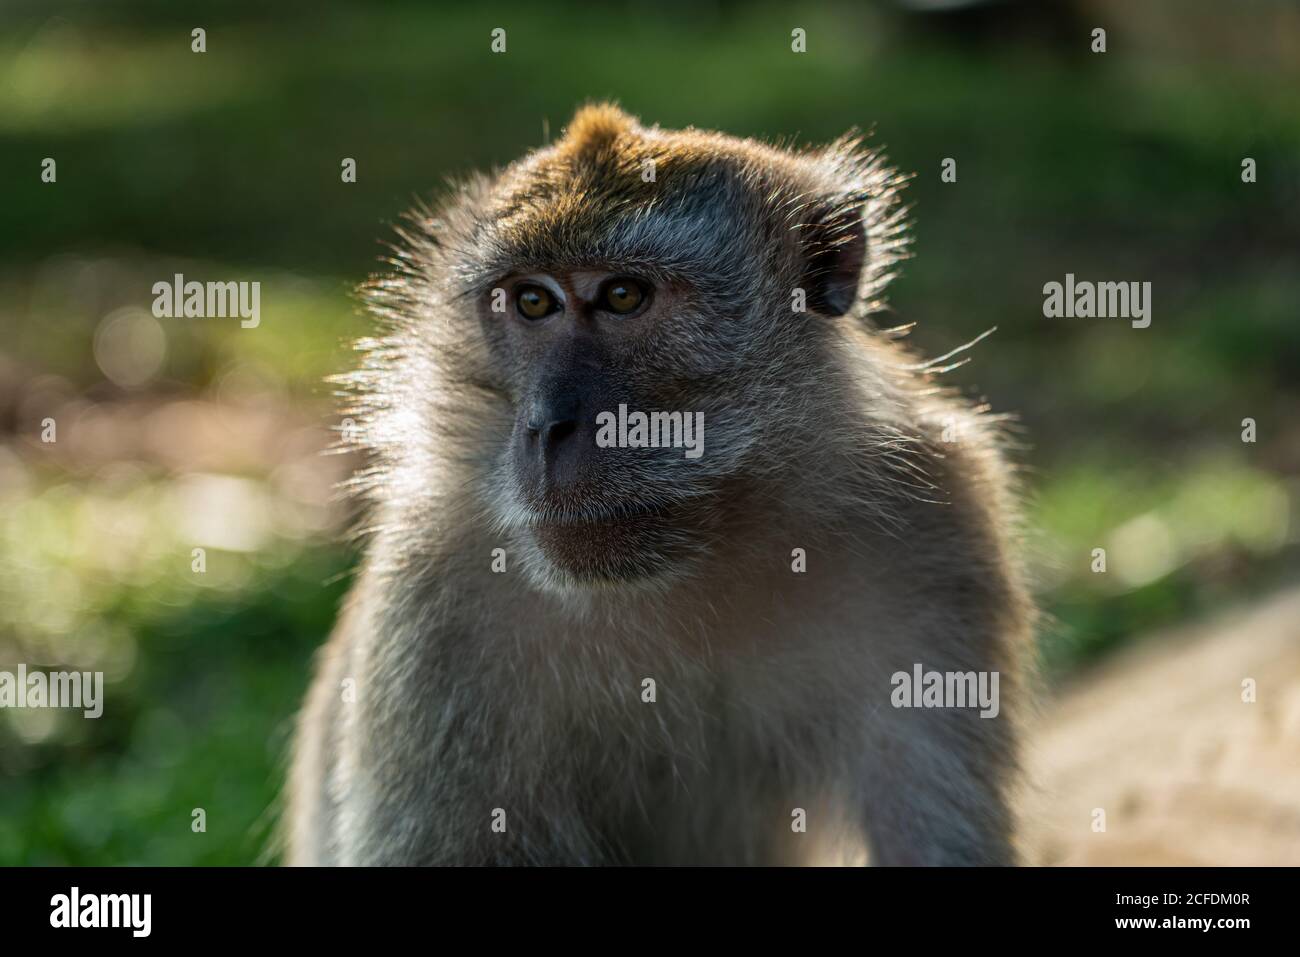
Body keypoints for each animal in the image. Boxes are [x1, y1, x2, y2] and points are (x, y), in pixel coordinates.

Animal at [287, 103, 1035, 866]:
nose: (547, 426)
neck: (700, 557)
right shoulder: (437, 596)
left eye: (622, 296)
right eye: (532, 302)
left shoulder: (936, 532)